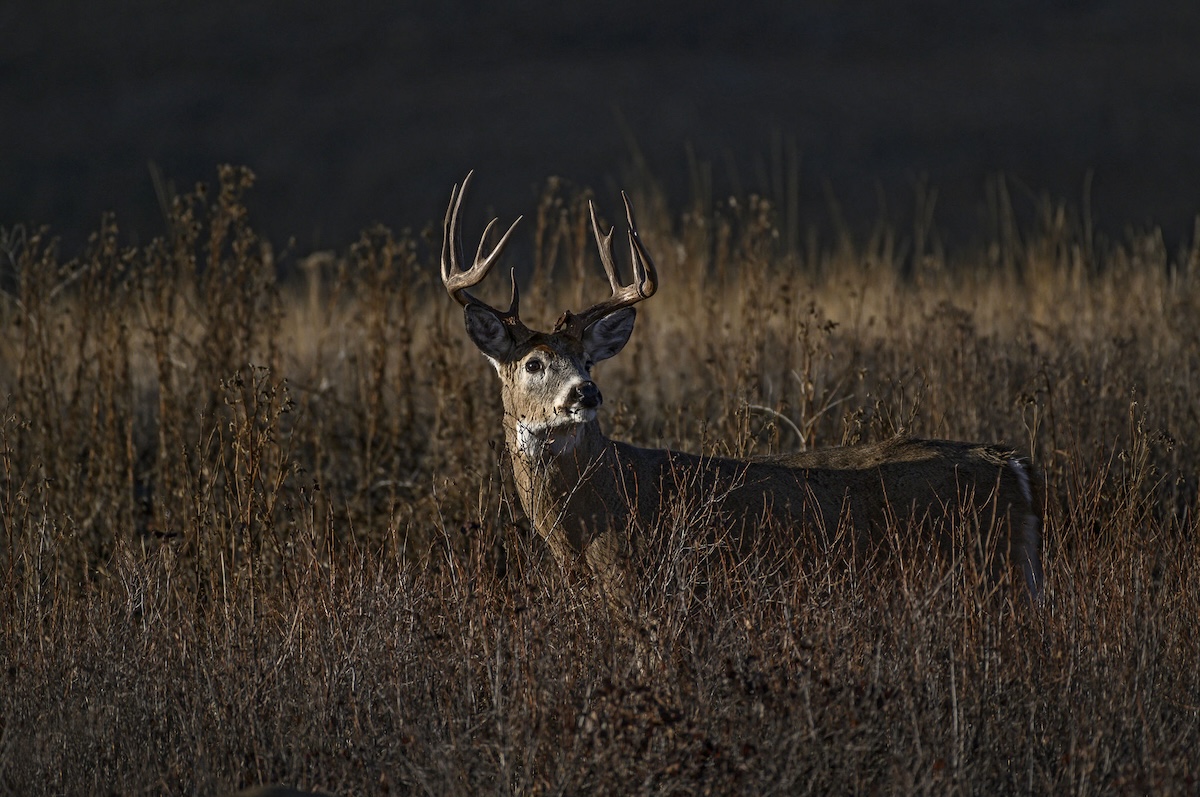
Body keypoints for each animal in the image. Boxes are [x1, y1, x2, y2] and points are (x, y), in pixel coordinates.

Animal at [441, 172, 1045, 606]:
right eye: (534, 362)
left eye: (587, 359)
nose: (586, 394)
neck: (591, 521)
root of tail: (1013, 464)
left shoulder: (643, 585)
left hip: (992, 575)